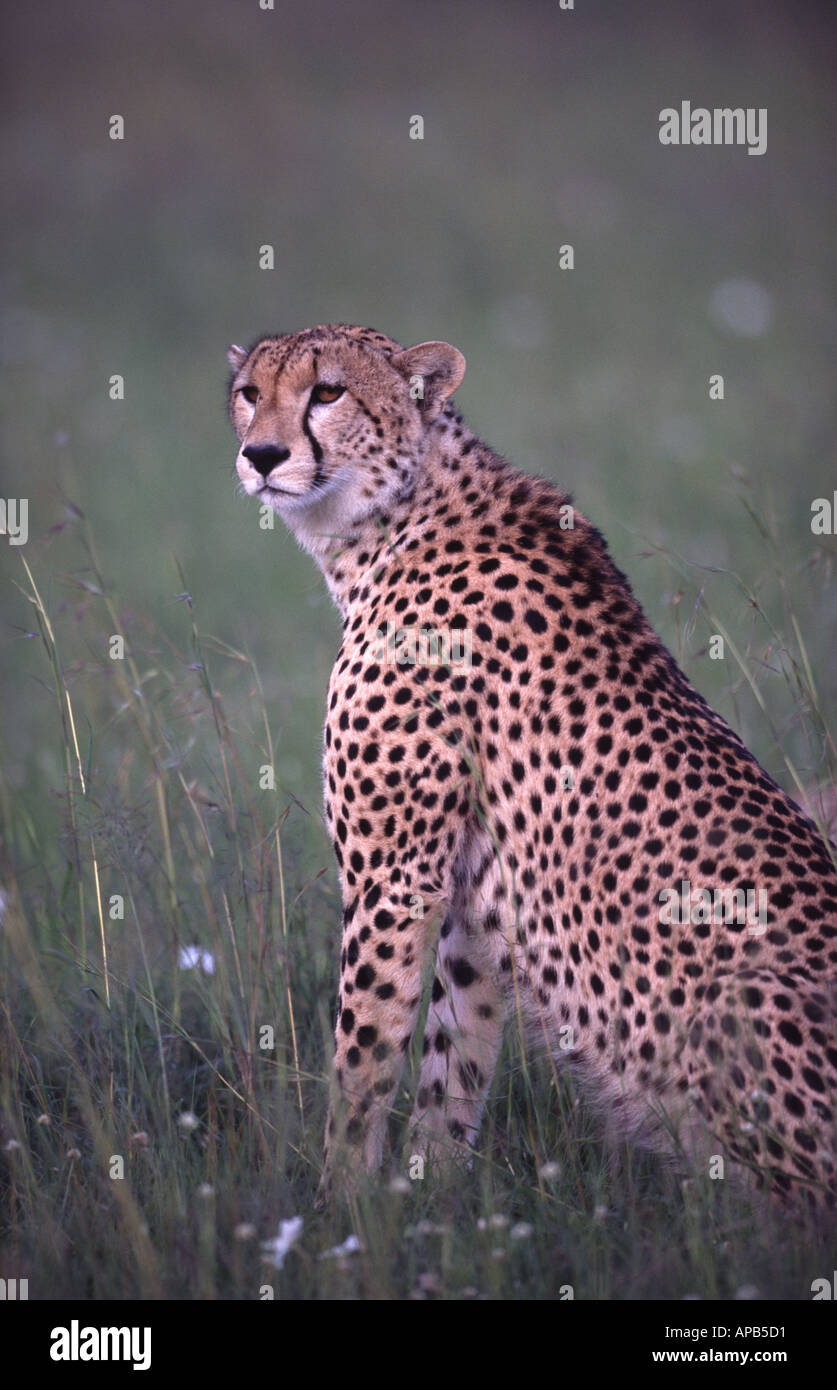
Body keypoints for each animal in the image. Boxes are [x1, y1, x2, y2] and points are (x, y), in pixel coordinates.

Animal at [227, 323, 837, 1209]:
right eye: (250, 392)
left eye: (328, 393)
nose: (263, 454)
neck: (395, 518)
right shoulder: (471, 904)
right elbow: (452, 1067)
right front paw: (431, 1203)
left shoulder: (394, 876)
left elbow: (362, 1062)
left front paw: (338, 1205)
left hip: (742, 998)